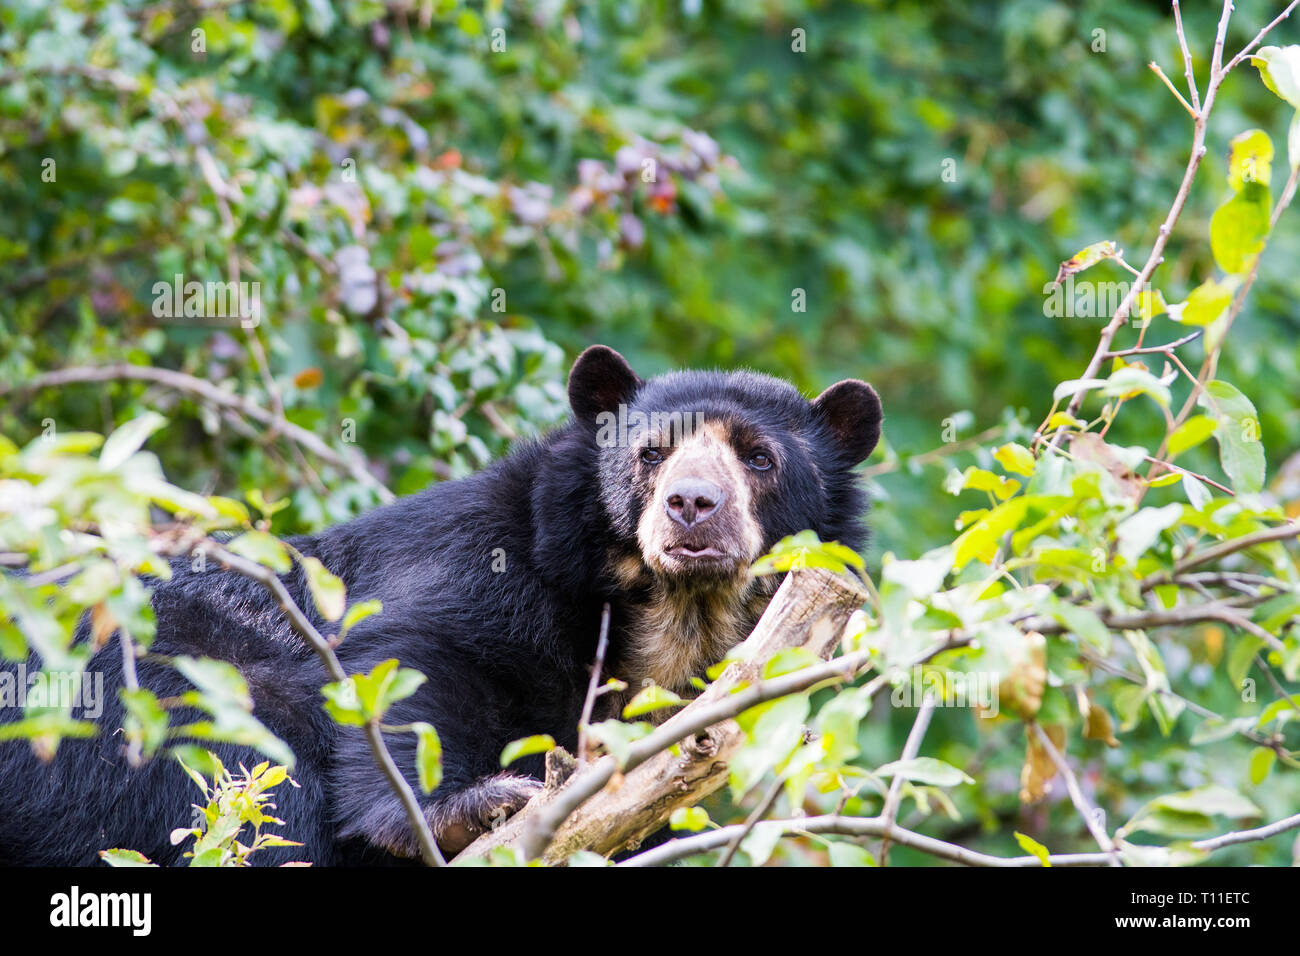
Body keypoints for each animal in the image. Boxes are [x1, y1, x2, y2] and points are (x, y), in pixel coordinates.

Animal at [0, 345, 882, 865]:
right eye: (650, 452)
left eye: (759, 458)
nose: (691, 507)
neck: (662, 611)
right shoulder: (479, 565)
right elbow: (416, 661)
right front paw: (477, 809)